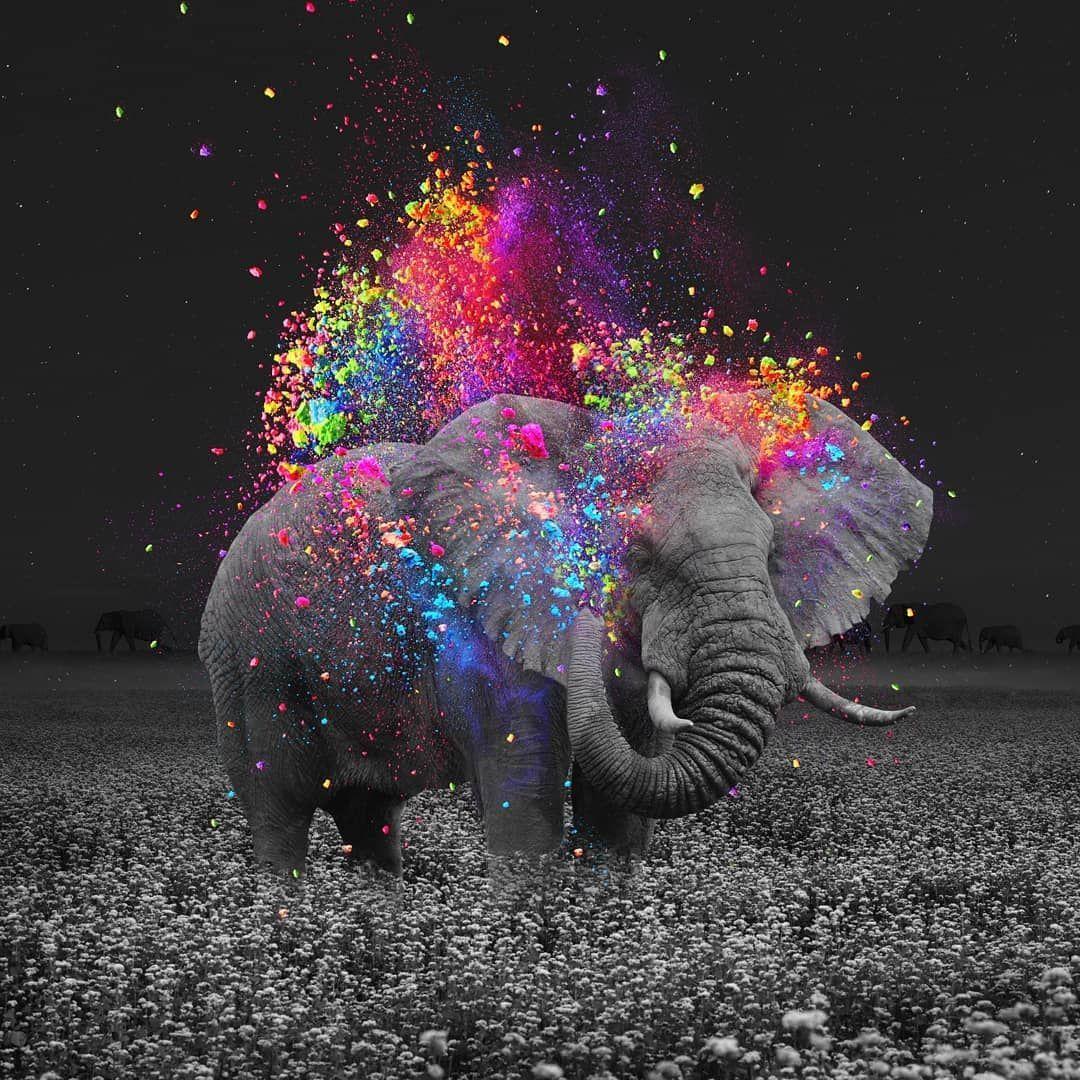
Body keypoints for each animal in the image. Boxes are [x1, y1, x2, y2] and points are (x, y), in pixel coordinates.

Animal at [199, 392, 932, 877]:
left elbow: (620, 814)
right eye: (636, 555)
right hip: (251, 661)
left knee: (370, 821)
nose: (588, 613)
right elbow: (526, 802)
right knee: (279, 817)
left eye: (771, 545)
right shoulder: (482, 618)